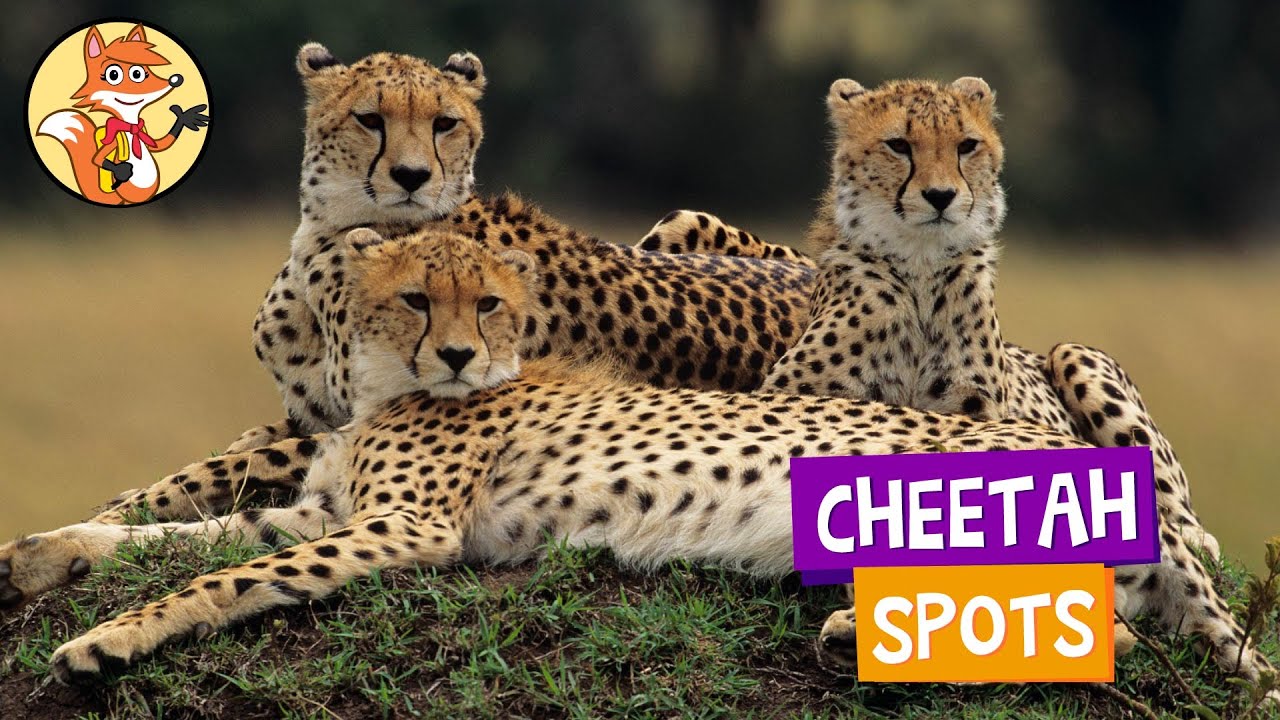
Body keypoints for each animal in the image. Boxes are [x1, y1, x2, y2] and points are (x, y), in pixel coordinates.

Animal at [2, 229, 1268, 695]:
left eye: (491, 301)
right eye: (415, 297)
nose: (459, 352)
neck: (378, 390)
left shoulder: (404, 530)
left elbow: (214, 577)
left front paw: (101, 643)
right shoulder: (314, 513)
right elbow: (175, 537)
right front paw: (44, 555)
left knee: (1098, 621)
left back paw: (863, 633)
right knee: (1114, 626)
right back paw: (853, 630)